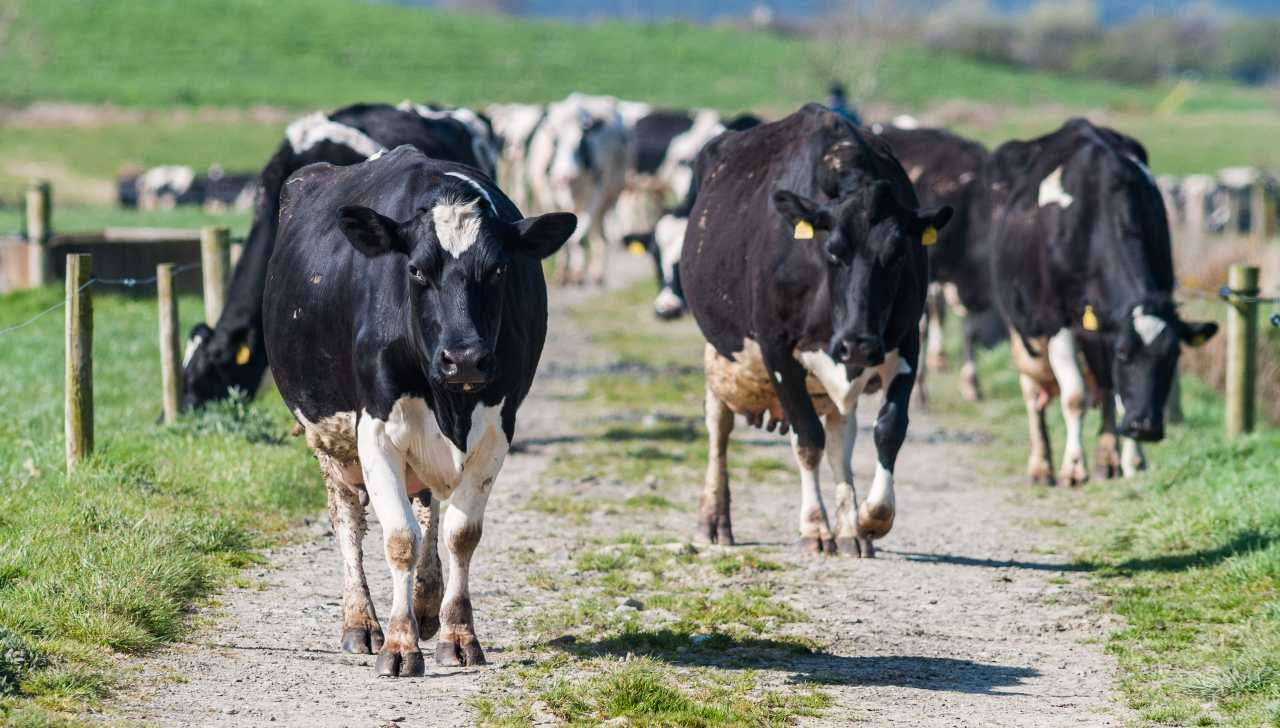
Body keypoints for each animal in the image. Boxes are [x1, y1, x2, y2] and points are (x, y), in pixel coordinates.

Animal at [263, 145, 575, 677]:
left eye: (499, 270)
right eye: (416, 270)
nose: (464, 358)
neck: (452, 401)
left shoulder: (498, 428)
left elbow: (460, 533)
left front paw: (457, 633)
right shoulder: (375, 429)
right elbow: (399, 538)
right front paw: (399, 643)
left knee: (428, 507)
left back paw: (426, 605)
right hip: (327, 438)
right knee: (348, 518)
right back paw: (362, 622)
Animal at [525, 93, 633, 286]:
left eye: (580, 142)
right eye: (555, 141)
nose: (565, 176)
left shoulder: (595, 196)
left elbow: (578, 238)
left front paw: (576, 274)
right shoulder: (549, 196)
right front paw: (562, 273)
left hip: (608, 199)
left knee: (598, 233)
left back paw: (597, 272)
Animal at [680, 104, 952, 556]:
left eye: (897, 257)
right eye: (833, 251)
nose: (857, 343)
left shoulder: (906, 343)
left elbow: (888, 429)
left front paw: (869, 519)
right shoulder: (776, 348)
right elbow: (807, 438)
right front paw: (815, 528)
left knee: (842, 437)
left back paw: (850, 529)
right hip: (718, 350)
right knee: (719, 426)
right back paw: (713, 519)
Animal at [985, 118, 1217, 486]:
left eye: (1173, 356)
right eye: (1125, 353)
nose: (1145, 427)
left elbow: (1115, 392)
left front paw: (1131, 460)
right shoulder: (1057, 321)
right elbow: (1075, 396)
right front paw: (1073, 468)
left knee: (1104, 389)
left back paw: (1107, 457)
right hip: (1021, 327)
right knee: (1032, 393)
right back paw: (1041, 467)